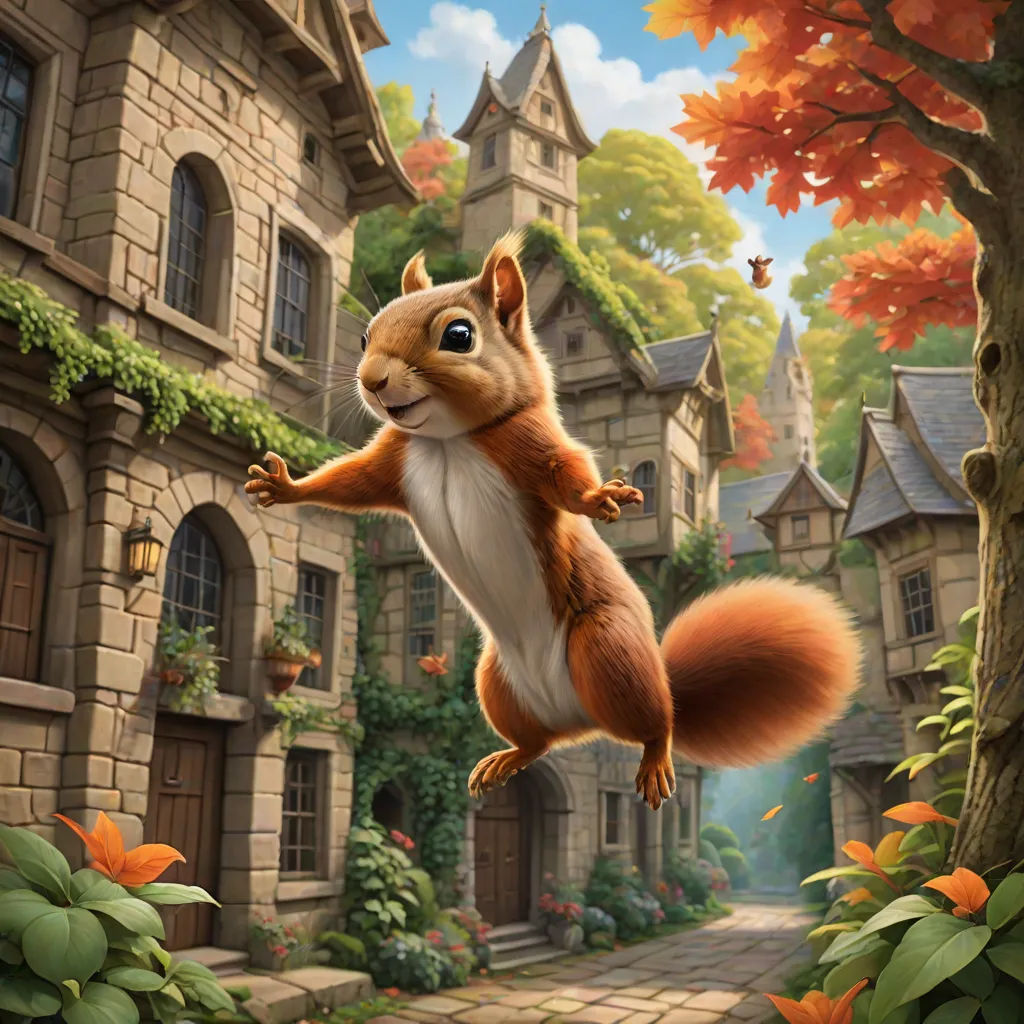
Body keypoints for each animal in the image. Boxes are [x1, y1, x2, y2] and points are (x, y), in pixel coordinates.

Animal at [246, 231, 859, 809]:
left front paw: (598, 497)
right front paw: (282, 486)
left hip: (609, 648)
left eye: (459, 335)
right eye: (366, 336)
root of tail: (580, 717)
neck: (447, 441)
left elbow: (565, 469)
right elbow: (351, 480)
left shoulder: (529, 444)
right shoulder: (394, 462)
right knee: (539, 743)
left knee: (655, 723)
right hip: (494, 681)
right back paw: (505, 759)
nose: (371, 378)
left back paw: (654, 757)